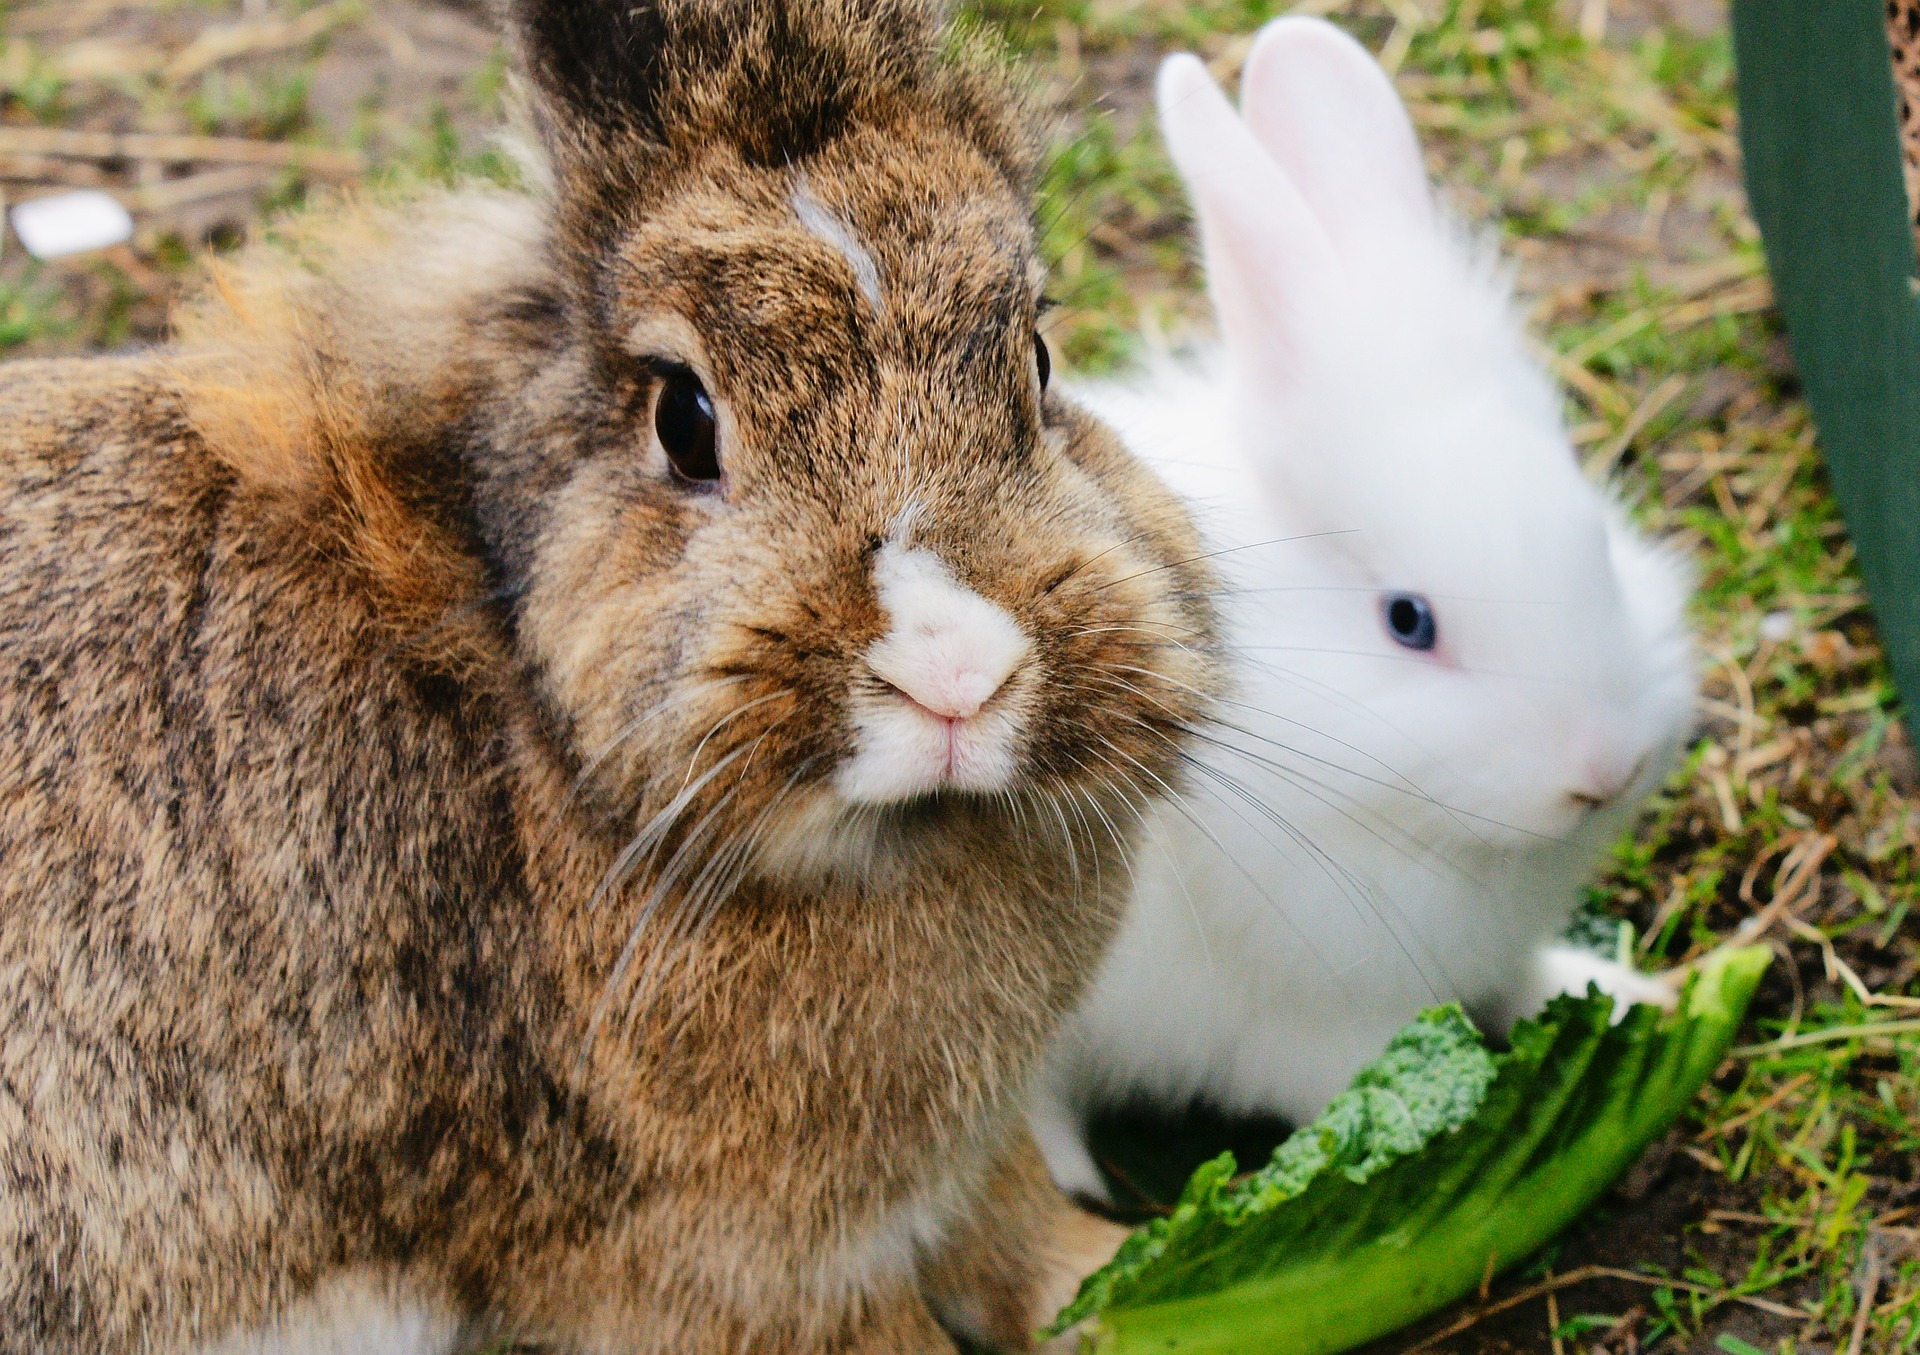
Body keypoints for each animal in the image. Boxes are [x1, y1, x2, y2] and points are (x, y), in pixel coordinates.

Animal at [0, 1, 1219, 1350]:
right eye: (684, 420)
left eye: (1041, 361)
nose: (956, 672)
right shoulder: (718, 1271)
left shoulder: (954, 1174)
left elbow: (1027, 1237)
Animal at [1029, 17, 1699, 1202]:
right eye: (1408, 620)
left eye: (1594, 541)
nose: (1603, 769)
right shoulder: (1309, 1024)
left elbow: (1528, 976)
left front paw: (1631, 995)